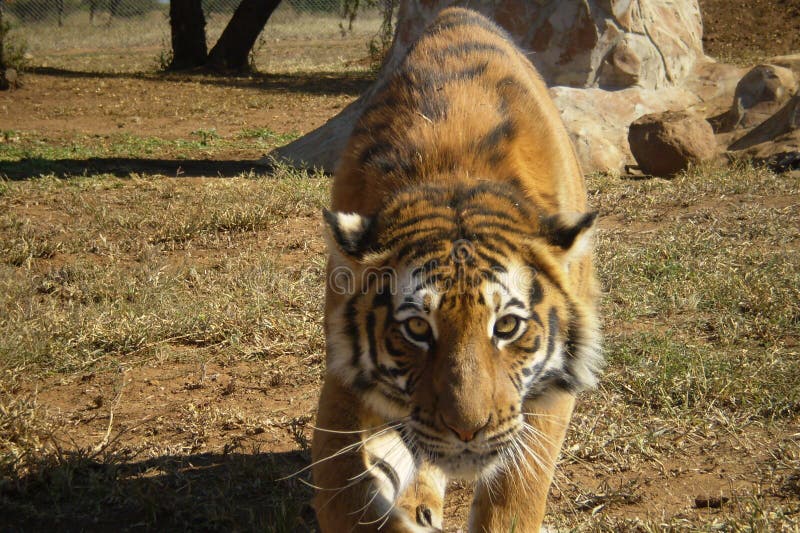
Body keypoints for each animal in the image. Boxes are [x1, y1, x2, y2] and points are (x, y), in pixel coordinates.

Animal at [312, 7, 601, 532]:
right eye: (415, 329)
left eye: (506, 326)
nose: (468, 430)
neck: (453, 172)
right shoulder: (342, 375)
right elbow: (341, 489)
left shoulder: (547, 395)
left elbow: (514, 496)